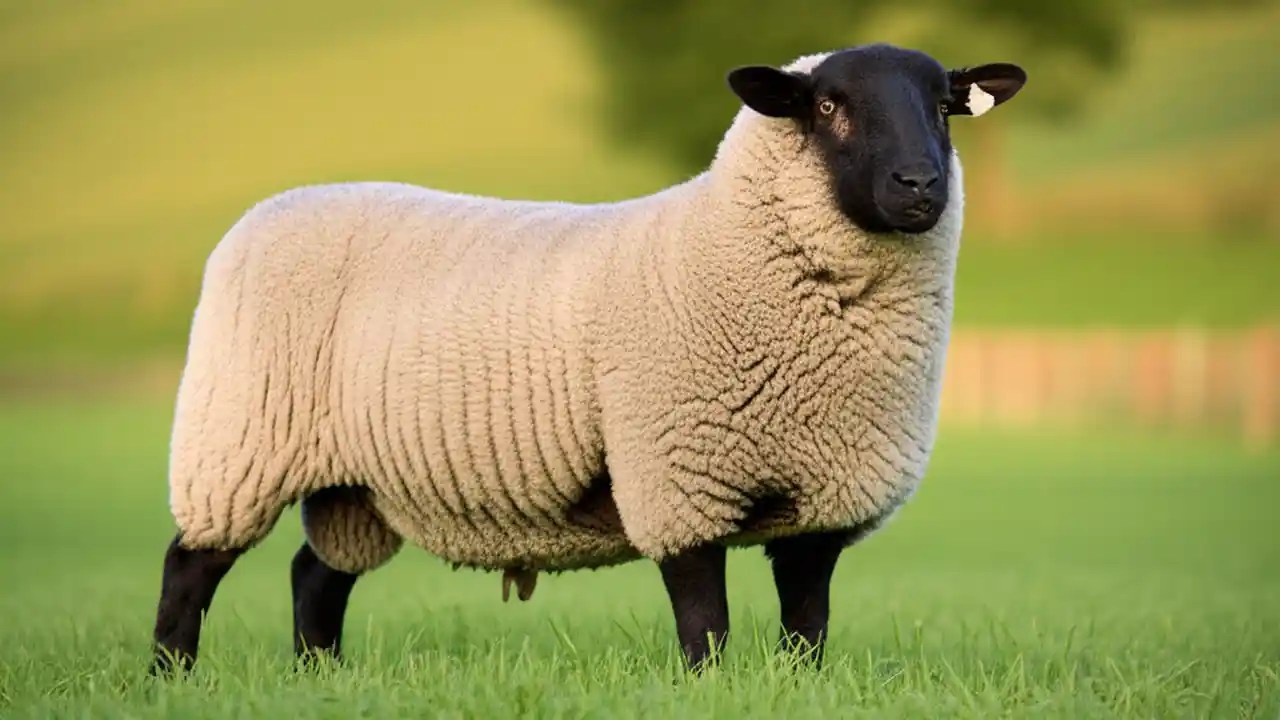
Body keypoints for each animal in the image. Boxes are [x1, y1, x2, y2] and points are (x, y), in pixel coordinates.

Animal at [150, 43, 1026, 674]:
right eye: (828, 105)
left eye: (945, 107)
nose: (920, 184)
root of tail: (270, 208)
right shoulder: (680, 475)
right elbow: (704, 622)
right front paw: (711, 690)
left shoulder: (825, 496)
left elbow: (808, 624)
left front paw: (798, 688)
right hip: (238, 439)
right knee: (191, 564)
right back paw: (171, 677)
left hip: (354, 481)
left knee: (315, 574)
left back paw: (318, 677)